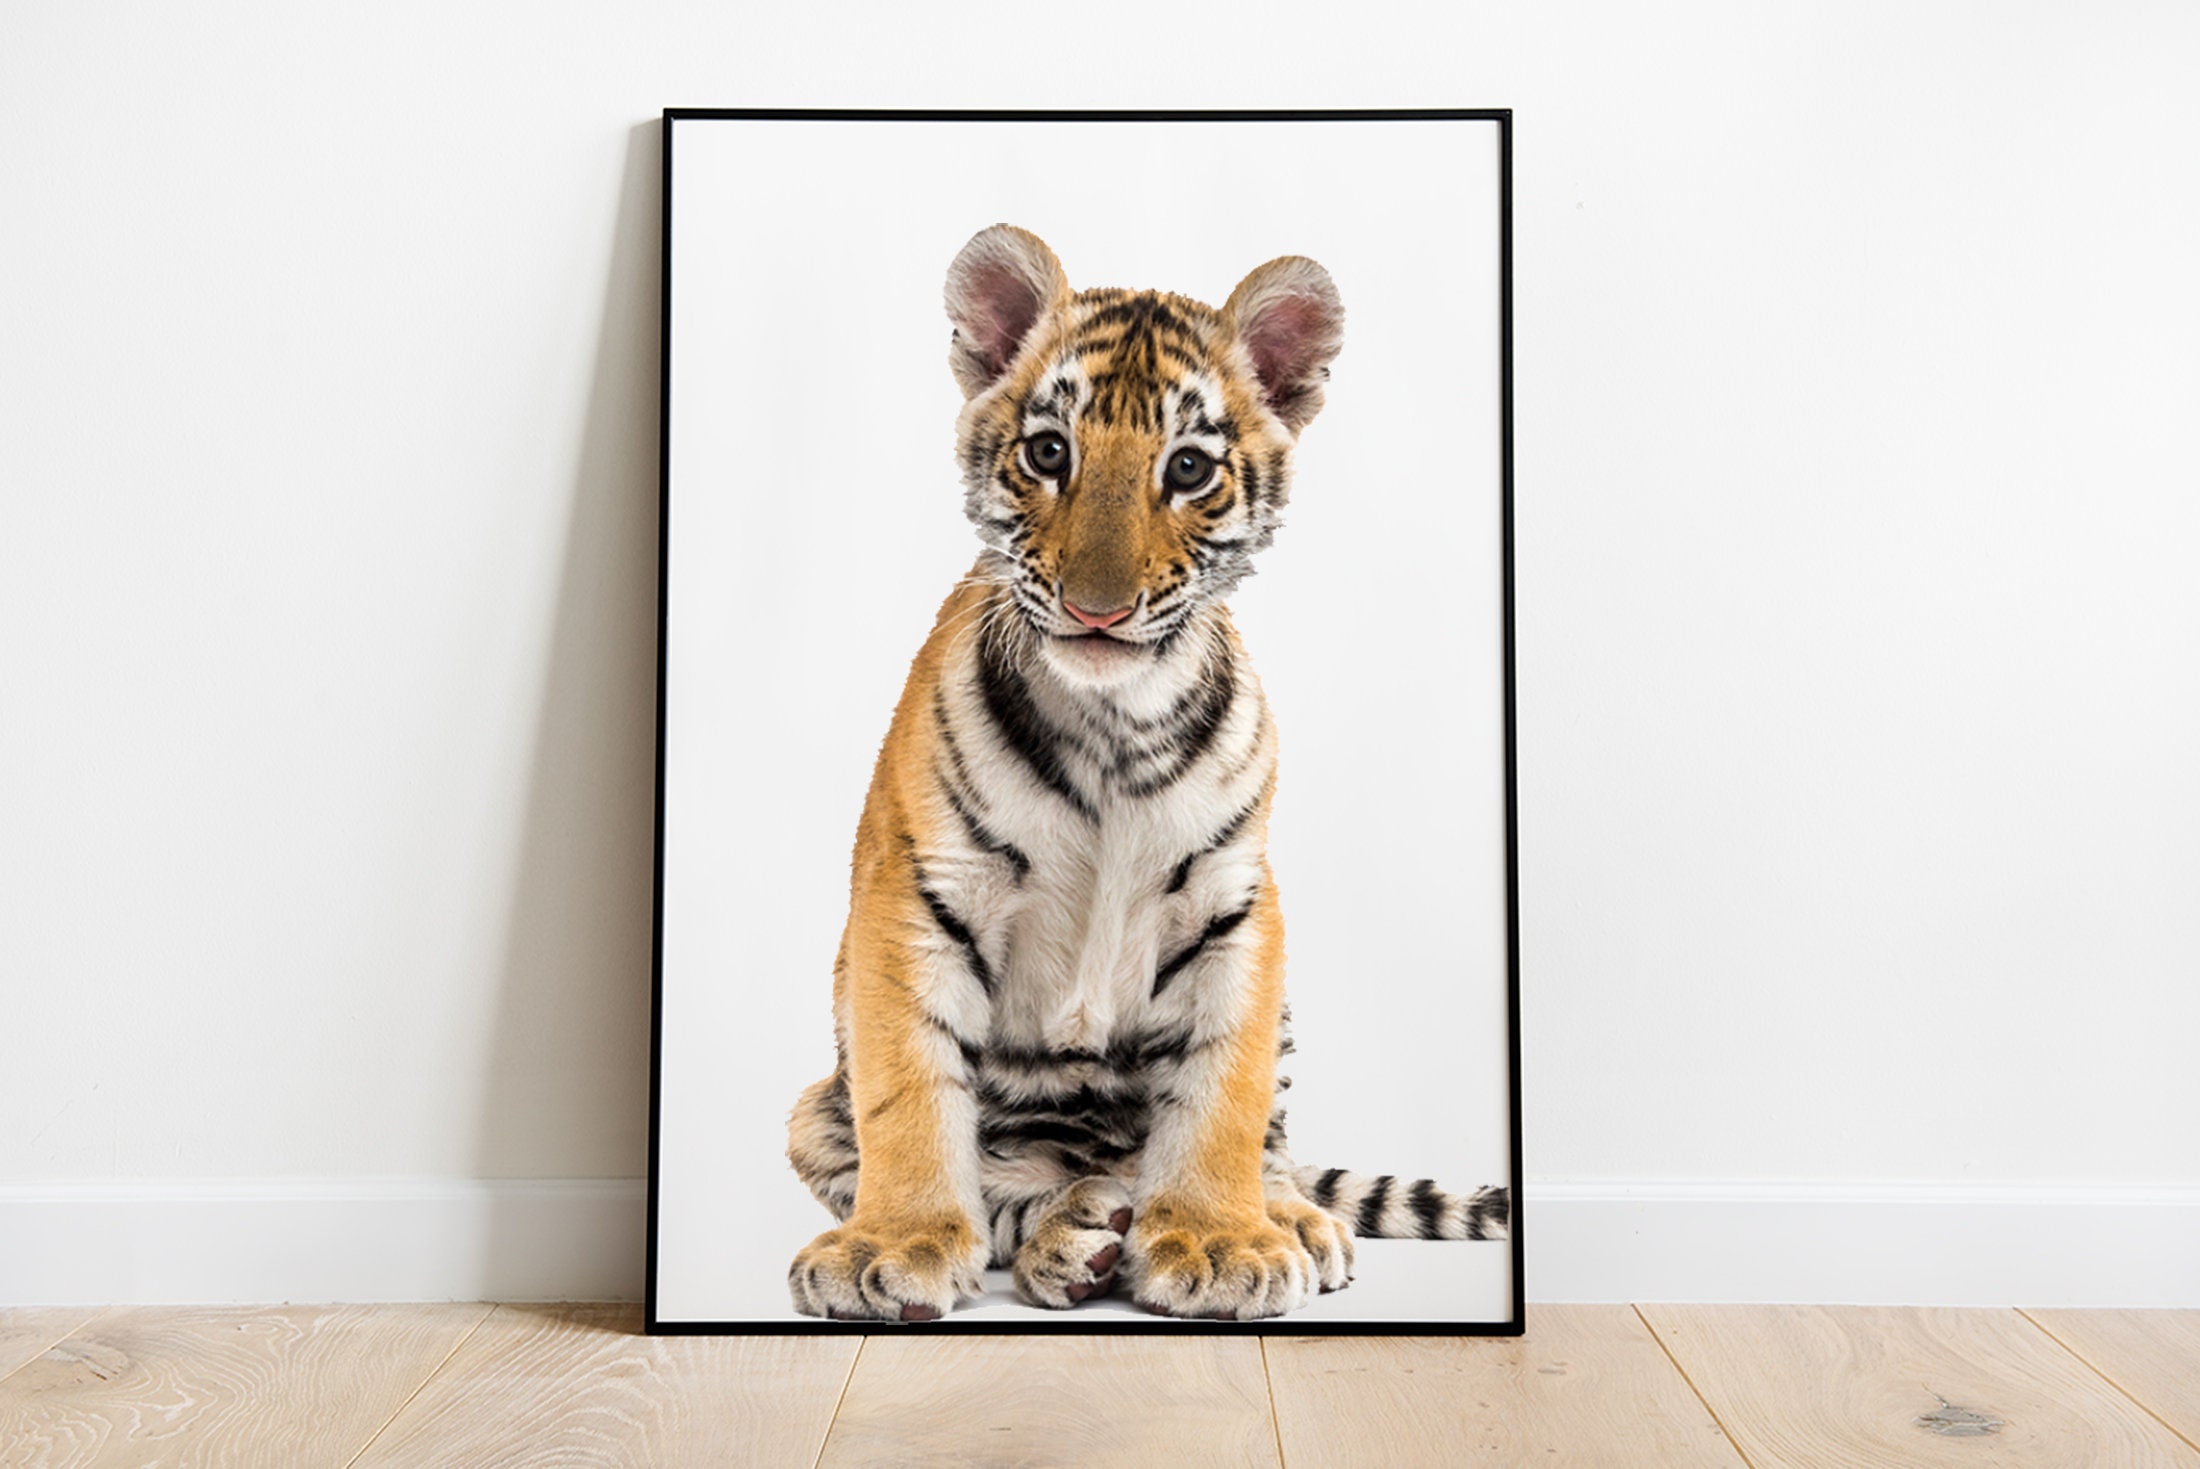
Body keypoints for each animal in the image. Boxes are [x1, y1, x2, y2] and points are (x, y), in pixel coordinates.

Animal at [784, 224, 1509, 1323]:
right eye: (1049, 452)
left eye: (1190, 468)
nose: (1098, 609)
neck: (1115, 725)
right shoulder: (915, 896)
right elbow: (910, 1089)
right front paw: (894, 1243)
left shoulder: (1233, 909)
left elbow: (1223, 1092)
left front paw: (1219, 1239)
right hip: (810, 1108)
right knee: (1007, 1185)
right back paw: (1071, 1232)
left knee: (1265, 1146)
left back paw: (1280, 1219)